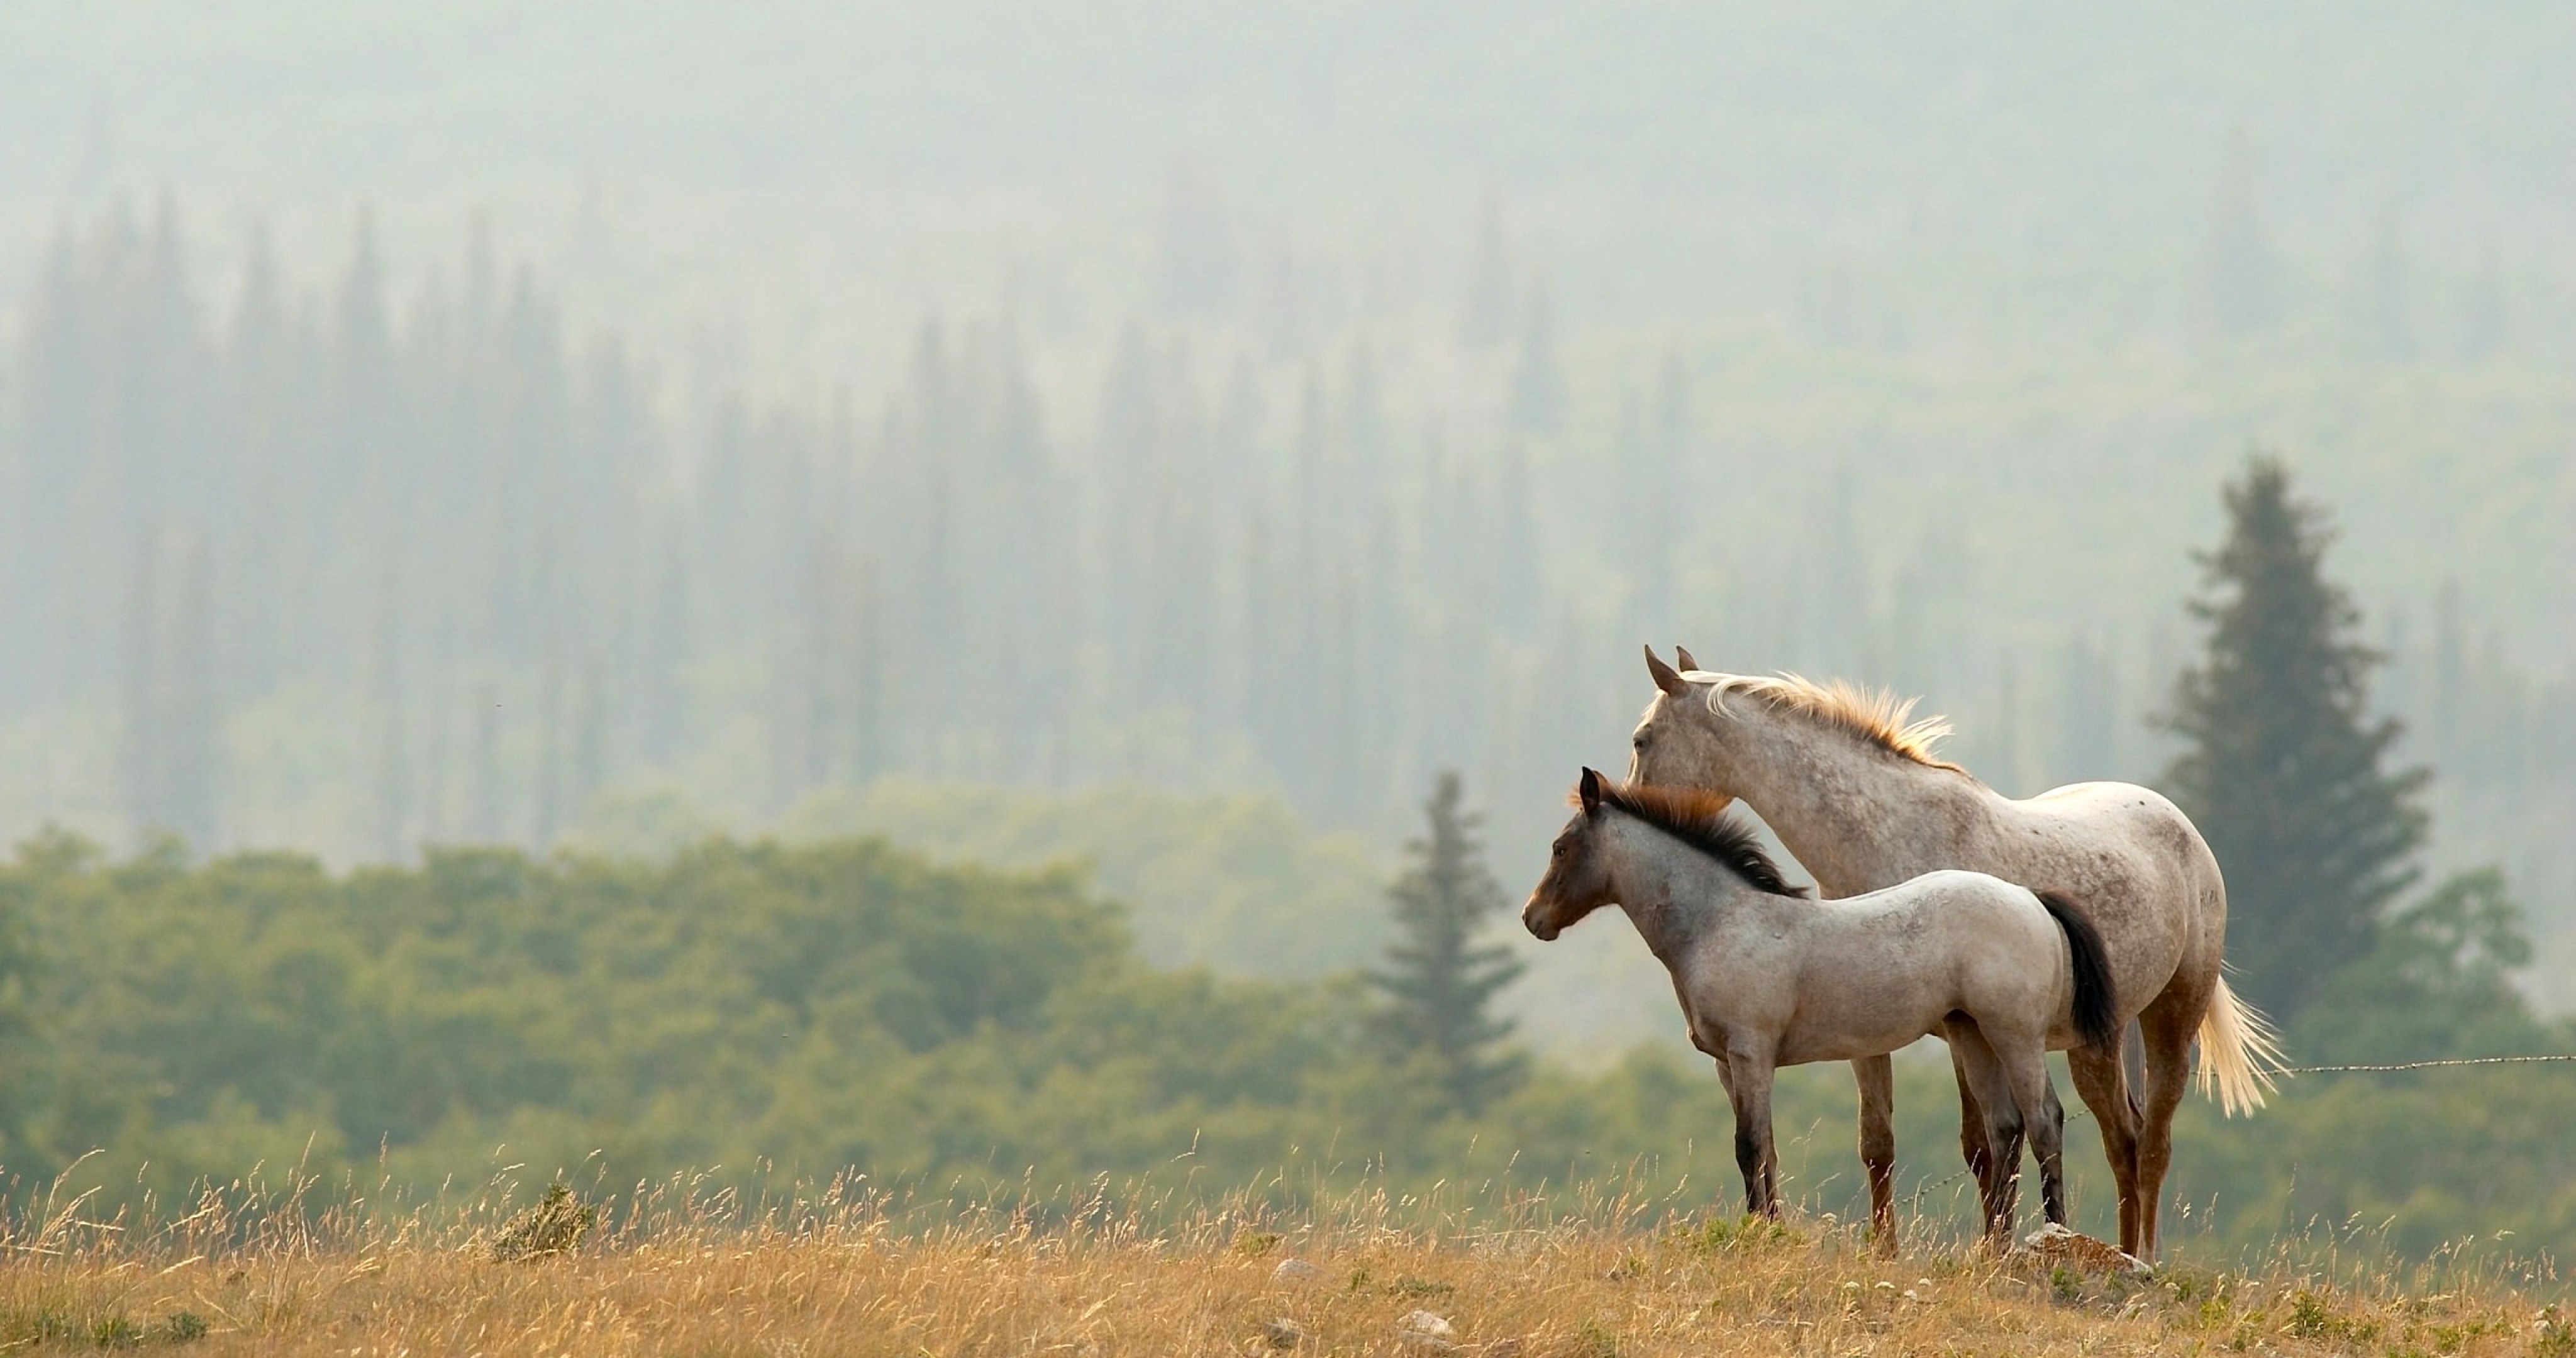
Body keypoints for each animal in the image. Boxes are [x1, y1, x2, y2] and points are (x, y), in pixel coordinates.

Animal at [1523, 768, 2120, 1246]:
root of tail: (2030, 898)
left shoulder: (1750, 1053)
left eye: (1560, 848)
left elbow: (1749, 1146)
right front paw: (1770, 1230)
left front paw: (1760, 1237)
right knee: (2004, 1129)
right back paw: (1992, 1251)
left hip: (2016, 1036)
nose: (1533, 919)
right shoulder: (1727, 1066)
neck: (1720, 923)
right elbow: (1765, 1149)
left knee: (2044, 1122)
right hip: (1971, 1033)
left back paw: (2053, 1238)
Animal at [1626, 646, 2282, 1257]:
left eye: (1642, 738)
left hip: (2164, 1021)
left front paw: (1994, 1245)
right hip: (2097, 1040)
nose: (1626, 803)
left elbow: (1990, 1145)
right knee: (2126, 1135)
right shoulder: (1878, 1033)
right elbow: (1884, 1143)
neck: (1889, 834)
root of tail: (2182, 827)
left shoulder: (1962, 1032)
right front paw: (1891, 1251)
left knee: (2143, 1144)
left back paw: (2136, 1257)